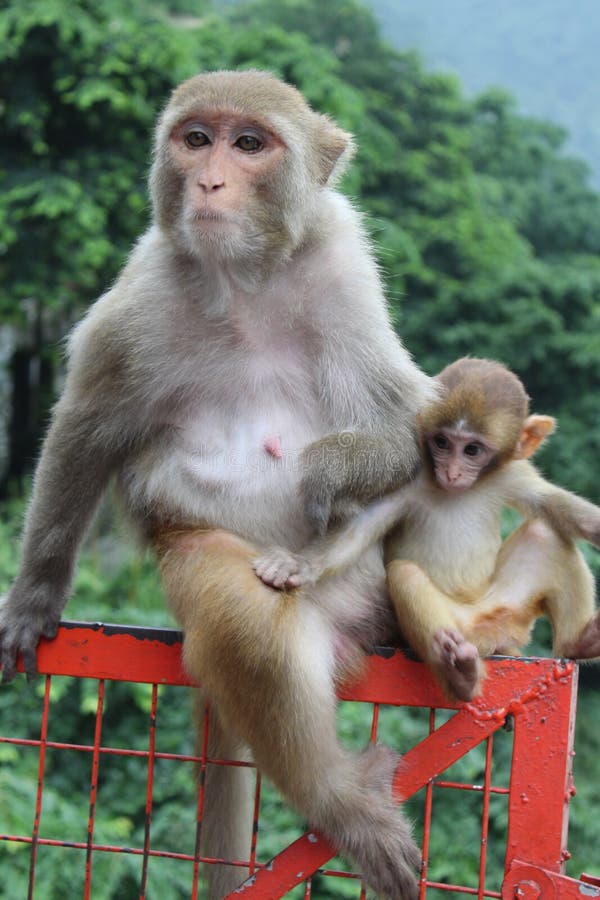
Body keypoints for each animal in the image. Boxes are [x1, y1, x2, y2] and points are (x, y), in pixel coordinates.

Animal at [0, 70, 441, 899]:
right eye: (197, 139)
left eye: (250, 144)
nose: (209, 180)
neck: (243, 280)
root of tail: (347, 624)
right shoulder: (141, 294)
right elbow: (85, 430)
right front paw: (35, 596)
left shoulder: (343, 267)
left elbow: (416, 422)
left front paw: (330, 468)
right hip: (204, 551)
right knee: (248, 621)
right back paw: (342, 800)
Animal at [254, 357, 600, 703]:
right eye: (442, 442)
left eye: (472, 450)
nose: (452, 472)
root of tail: (490, 635)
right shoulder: (411, 474)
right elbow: (361, 529)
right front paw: (297, 565)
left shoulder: (512, 473)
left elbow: (552, 504)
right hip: (451, 628)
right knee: (405, 575)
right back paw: (460, 675)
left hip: (509, 609)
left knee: (543, 533)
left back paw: (581, 640)